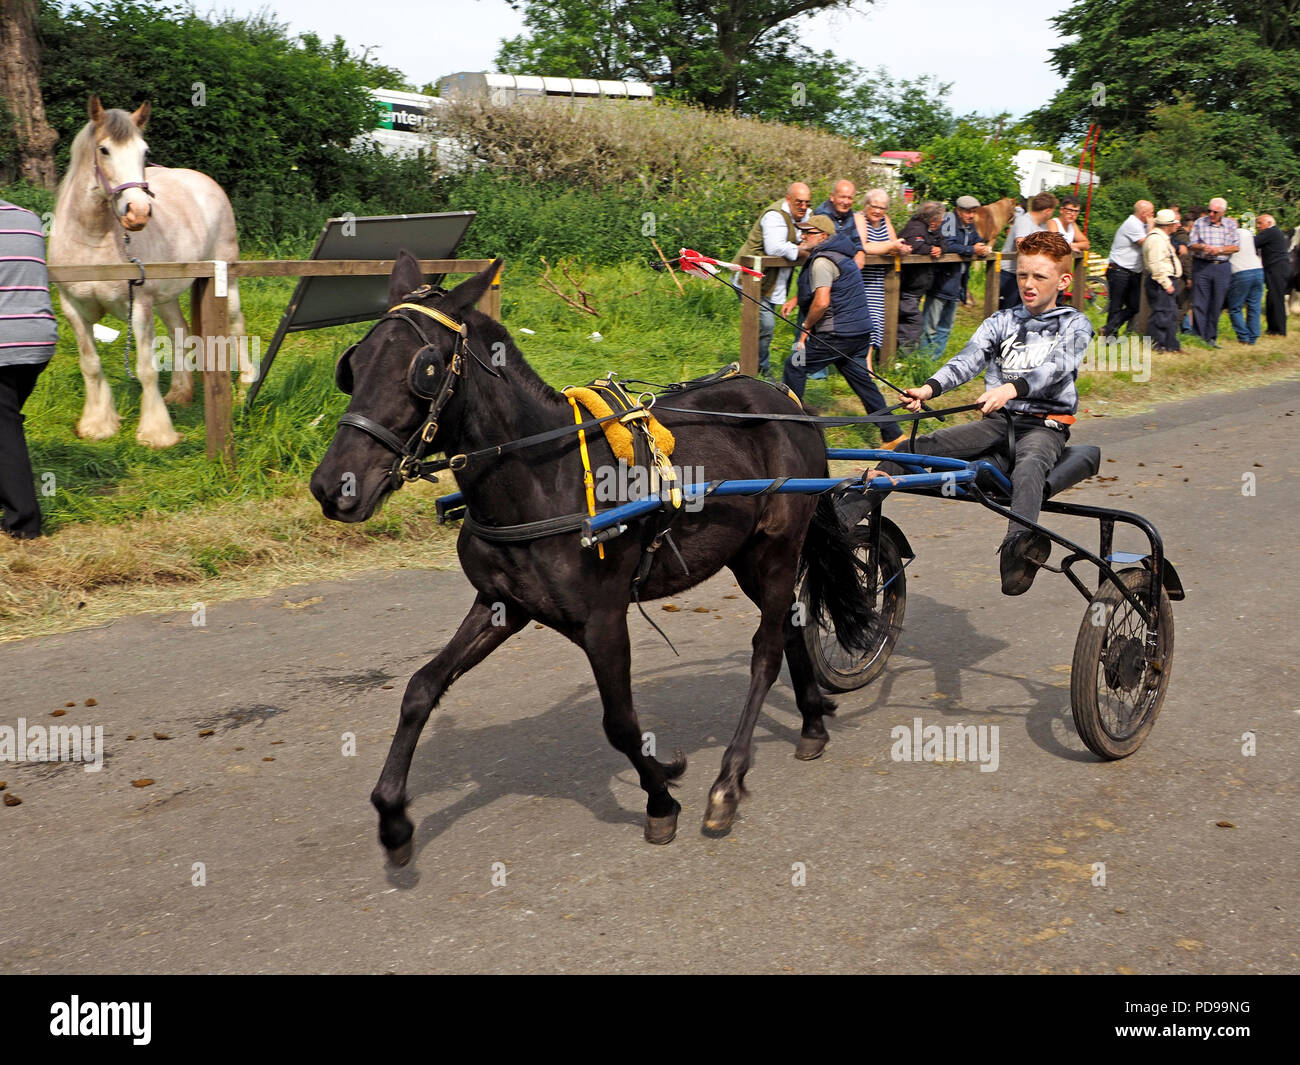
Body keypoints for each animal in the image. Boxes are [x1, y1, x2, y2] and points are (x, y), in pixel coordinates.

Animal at [48, 96, 249, 448]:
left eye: (145, 152)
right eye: (104, 150)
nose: (138, 213)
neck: (91, 240)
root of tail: (203, 181)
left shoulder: (138, 307)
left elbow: (146, 368)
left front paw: (157, 432)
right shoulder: (72, 309)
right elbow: (90, 364)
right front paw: (98, 423)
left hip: (228, 279)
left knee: (237, 325)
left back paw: (243, 392)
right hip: (167, 296)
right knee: (180, 330)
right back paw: (180, 393)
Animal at [310, 251, 875, 864]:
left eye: (424, 369)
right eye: (354, 363)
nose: (331, 486)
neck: (542, 478)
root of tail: (790, 404)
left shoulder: (603, 619)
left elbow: (620, 723)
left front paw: (661, 797)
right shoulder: (500, 605)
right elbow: (420, 688)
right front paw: (393, 815)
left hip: (777, 546)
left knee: (767, 650)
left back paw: (728, 781)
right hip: (747, 557)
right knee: (790, 626)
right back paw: (812, 721)